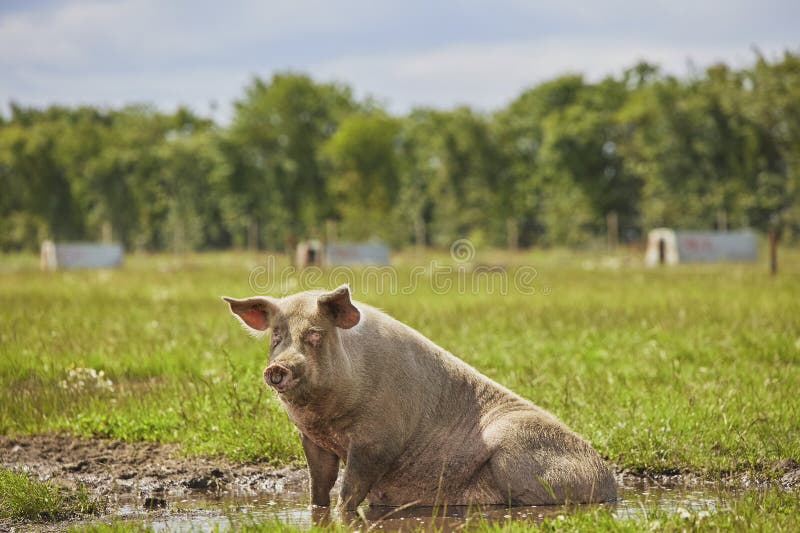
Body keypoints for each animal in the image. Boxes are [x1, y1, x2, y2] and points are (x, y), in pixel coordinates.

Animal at [222, 285, 616, 510]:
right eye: (276, 335)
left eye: (315, 334)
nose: (279, 367)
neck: (326, 419)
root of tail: (609, 480)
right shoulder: (311, 439)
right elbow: (320, 485)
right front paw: (317, 512)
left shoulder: (378, 440)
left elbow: (349, 492)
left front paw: (343, 513)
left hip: (516, 453)